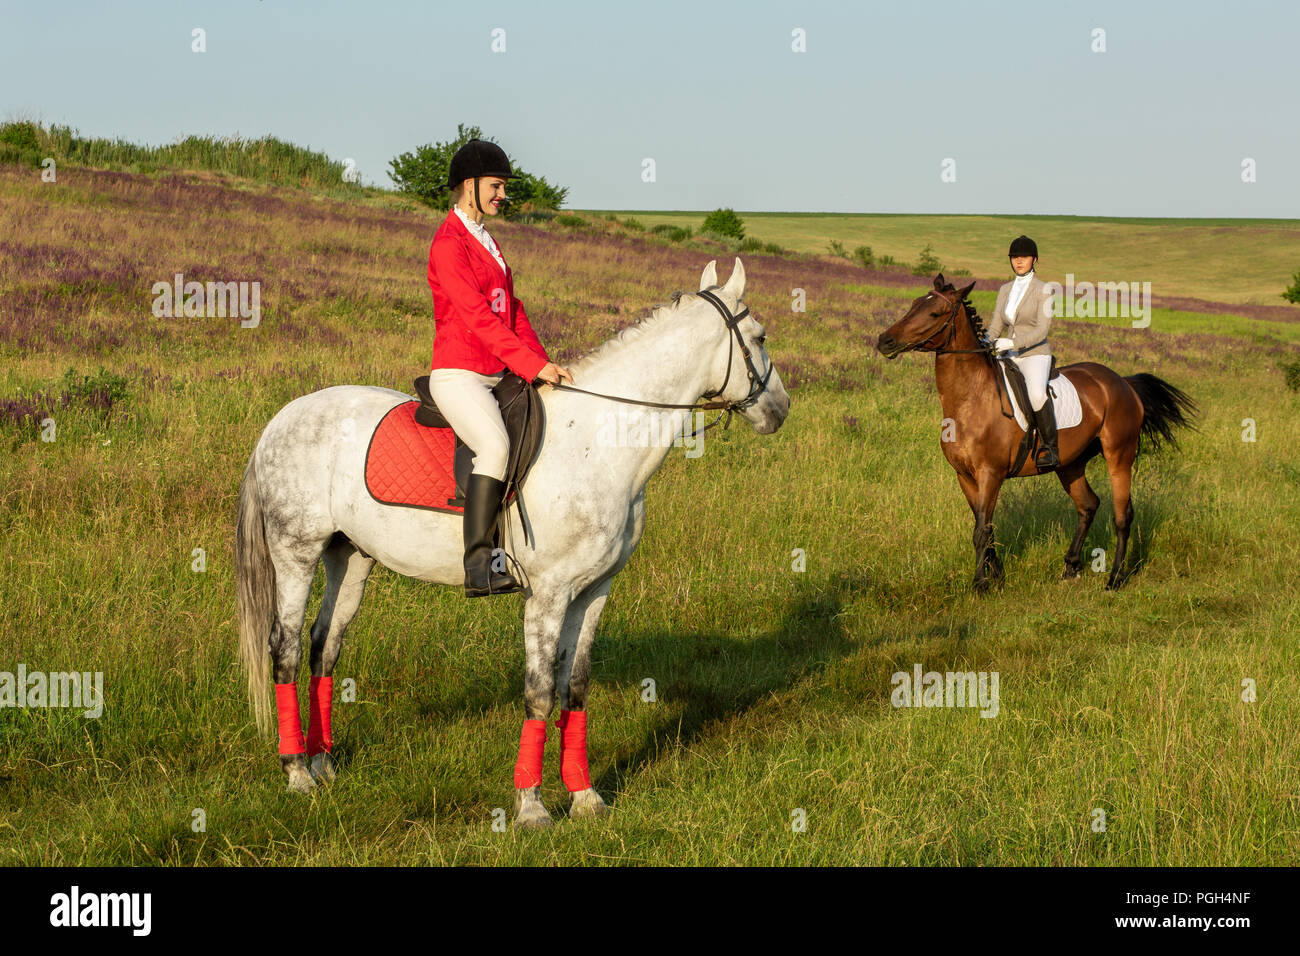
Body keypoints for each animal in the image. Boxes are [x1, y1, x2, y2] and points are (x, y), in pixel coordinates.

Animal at [235, 257, 790, 826]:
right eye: (760, 337)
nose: (780, 409)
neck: (598, 442)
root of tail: (283, 418)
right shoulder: (548, 594)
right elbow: (540, 692)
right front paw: (531, 806)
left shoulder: (593, 592)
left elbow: (575, 688)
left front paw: (585, 797)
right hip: (296, 554)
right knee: (287, 649)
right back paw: (297, 773)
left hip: (350, 559)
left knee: (326, 646)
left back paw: (323, 764)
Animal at [875, 274, 1196, 591]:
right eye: (914, 304)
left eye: (934, 313)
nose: (884, 341)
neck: (971, 398)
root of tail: (1122, 382)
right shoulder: (964, 476)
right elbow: (986, 528)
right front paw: (998, 577)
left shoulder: (990, 473)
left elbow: (982, 530)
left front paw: (980, 585)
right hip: (1070, 464)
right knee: (1087, 505)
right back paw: (1071, 567)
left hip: (1119, 455)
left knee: (1122, 515)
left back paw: (1115, 578)